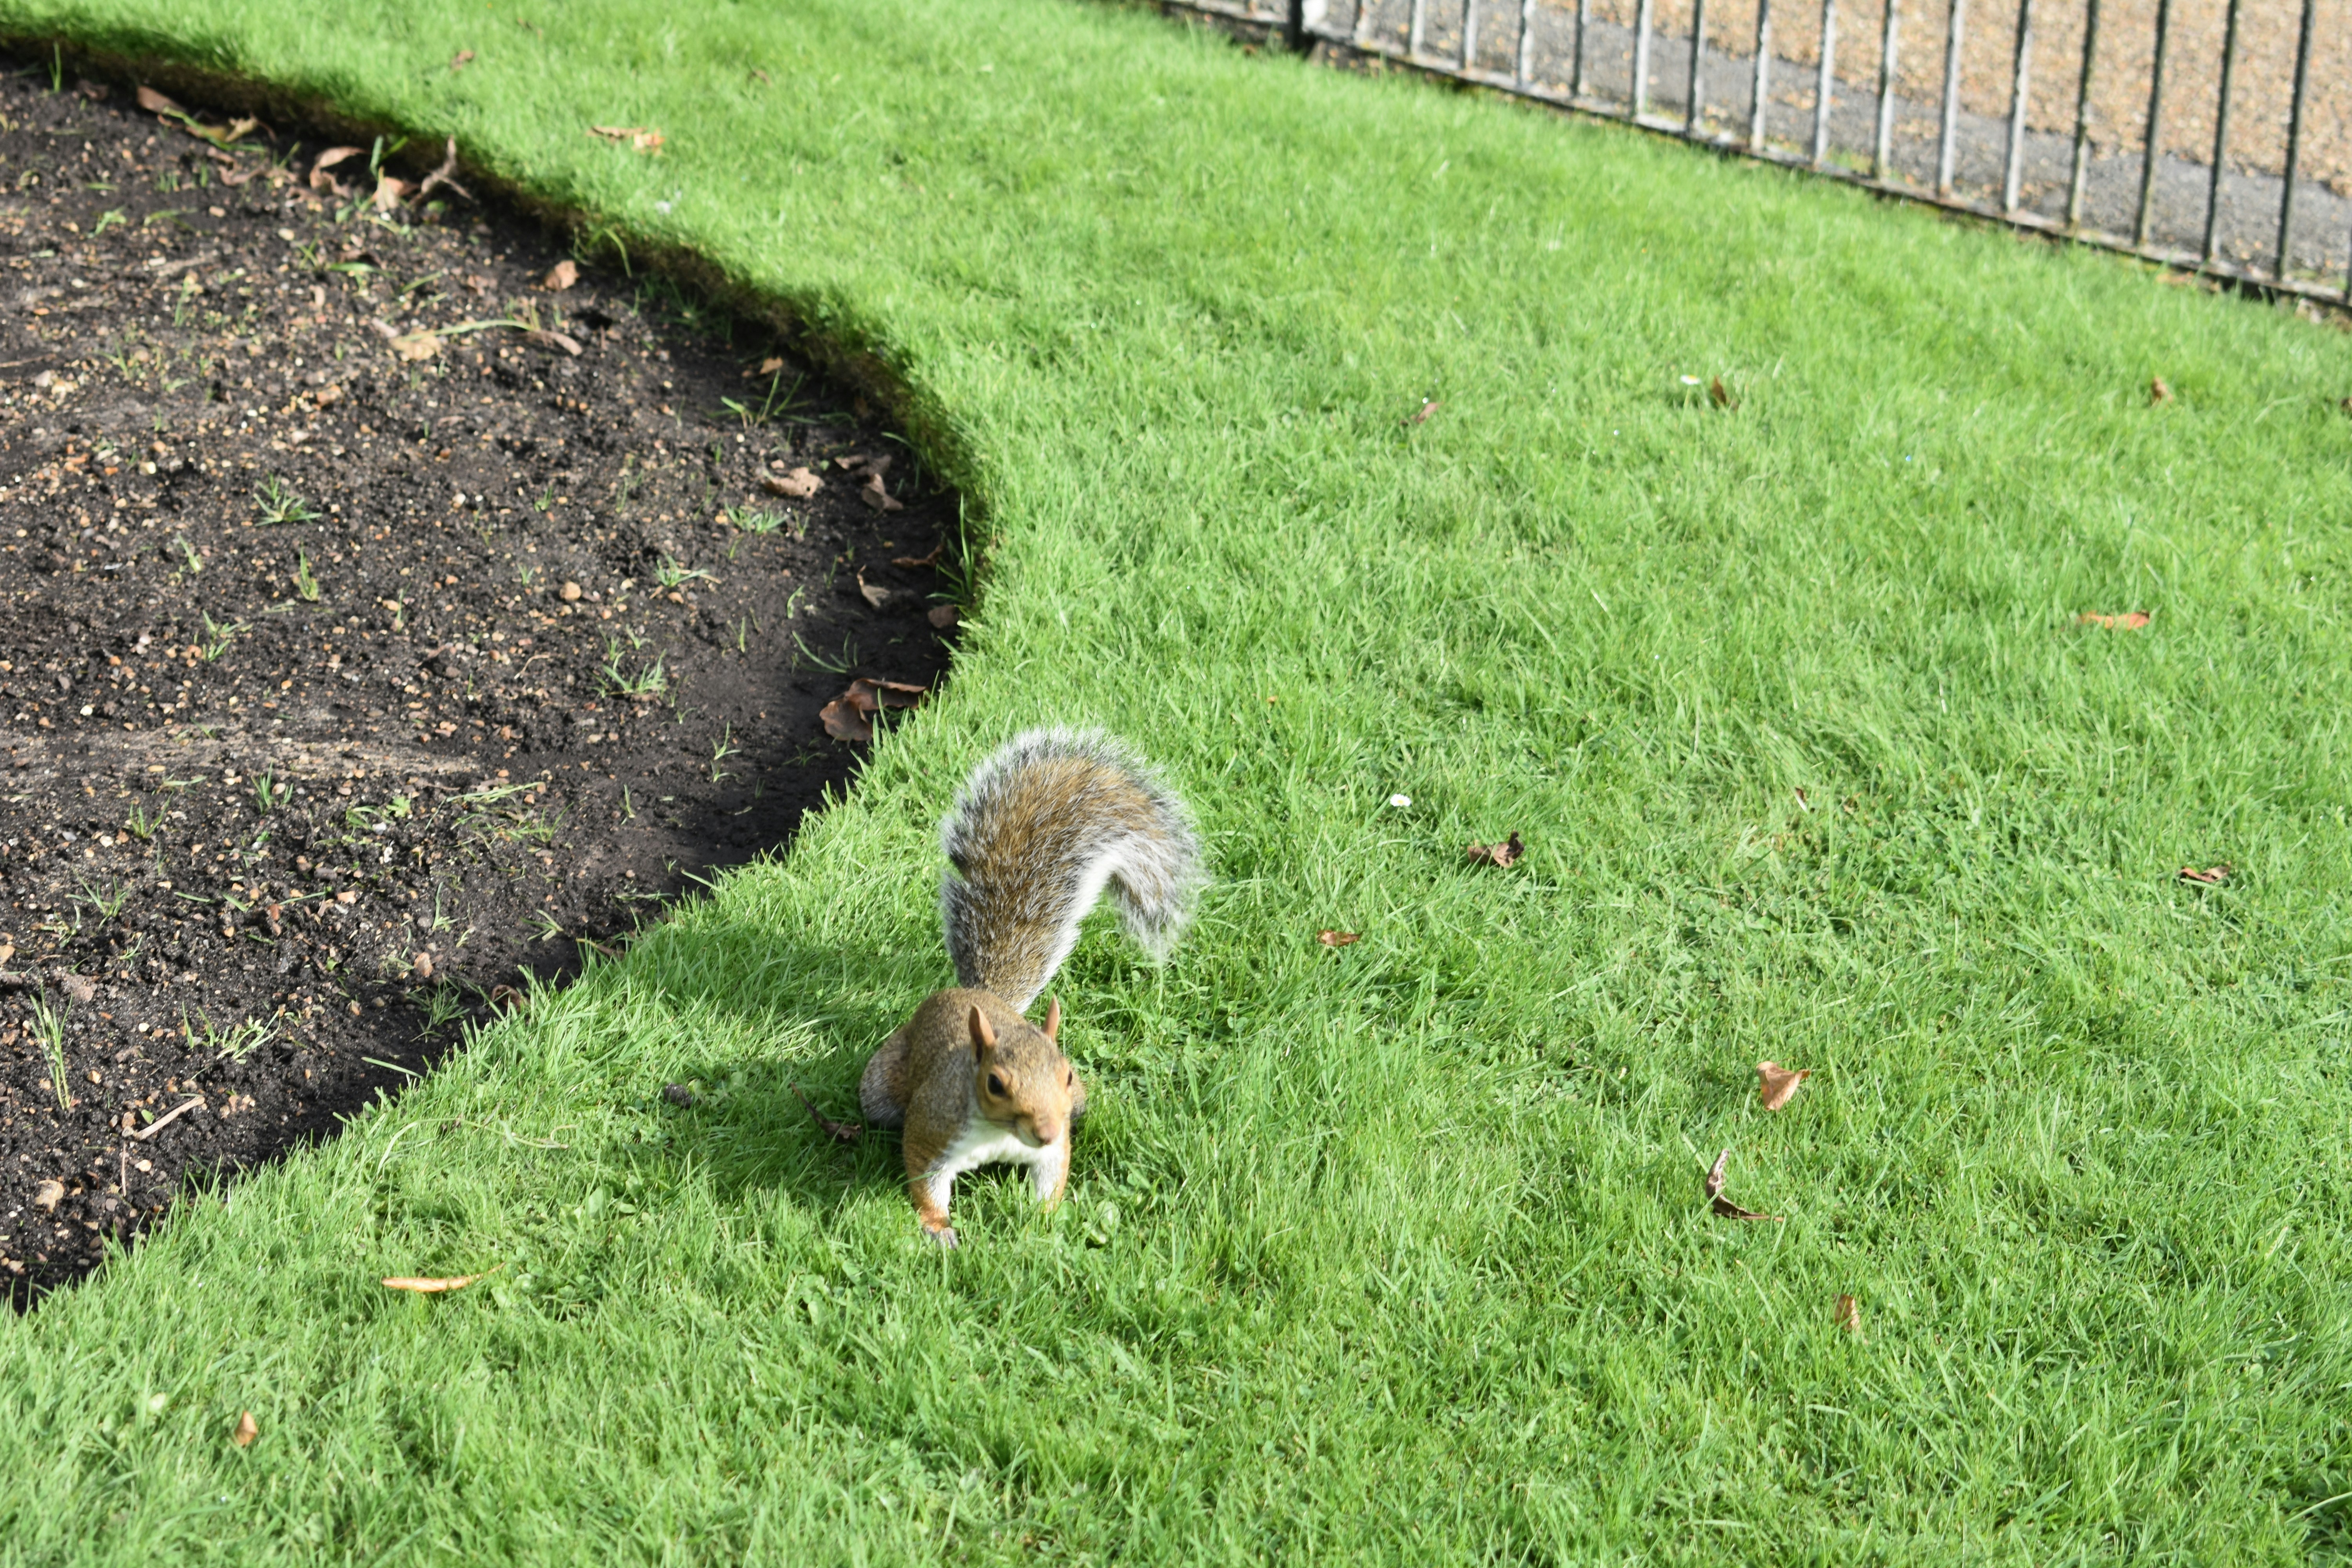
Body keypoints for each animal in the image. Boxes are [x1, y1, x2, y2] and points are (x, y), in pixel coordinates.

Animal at [858, 729, 1203, 1247]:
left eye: (1066, 1073)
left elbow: (1053, 1174)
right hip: (880, 1085)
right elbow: (923, 1178)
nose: (1045, 1128)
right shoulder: (932, 1128)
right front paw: (939, 1229)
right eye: (996, 1084)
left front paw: (1042, 1223)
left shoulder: (1055, 1145)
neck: (1002, 1135)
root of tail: (981, 997)